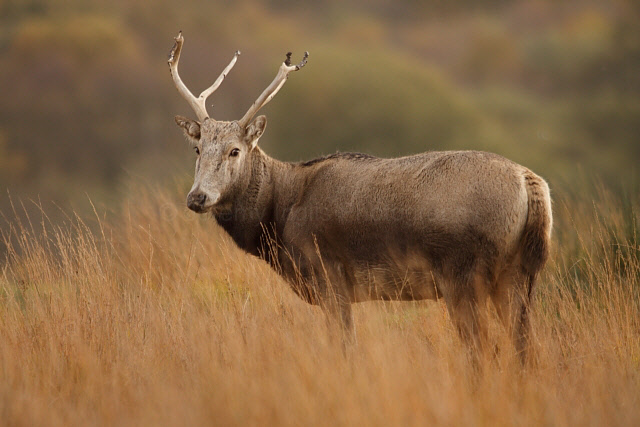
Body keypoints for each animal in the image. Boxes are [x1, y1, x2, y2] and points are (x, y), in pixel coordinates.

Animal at [168, 32, 553, 359]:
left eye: (234, 150)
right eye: (197, 149)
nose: (197, 197)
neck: (280, 213)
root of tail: (531, 184)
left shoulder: (328, 275)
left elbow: (344, 350)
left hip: (464, 273)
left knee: (484, 351)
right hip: (519, 275)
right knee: (525, 348)